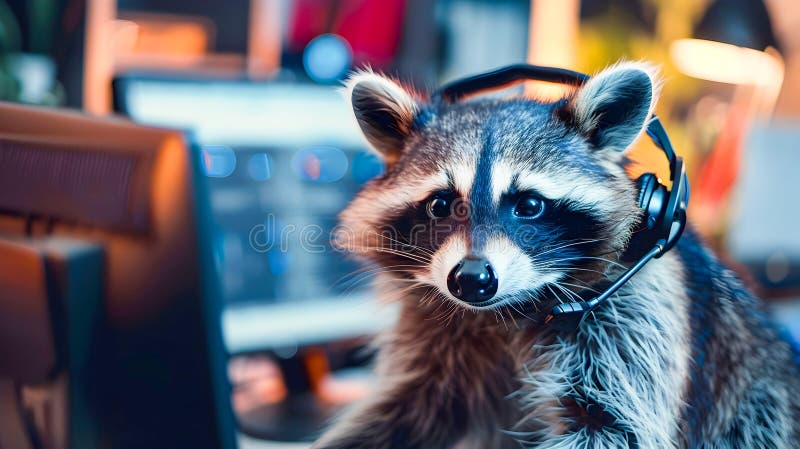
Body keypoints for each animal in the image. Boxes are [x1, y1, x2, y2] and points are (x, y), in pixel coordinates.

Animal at [313, 62, 800, 449]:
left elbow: (612, 426)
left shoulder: (637, 310)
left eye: (529, 205)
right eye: (440, 204)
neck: (508, 311)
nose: (472, 279)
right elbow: (409, 406)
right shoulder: (433, 330)